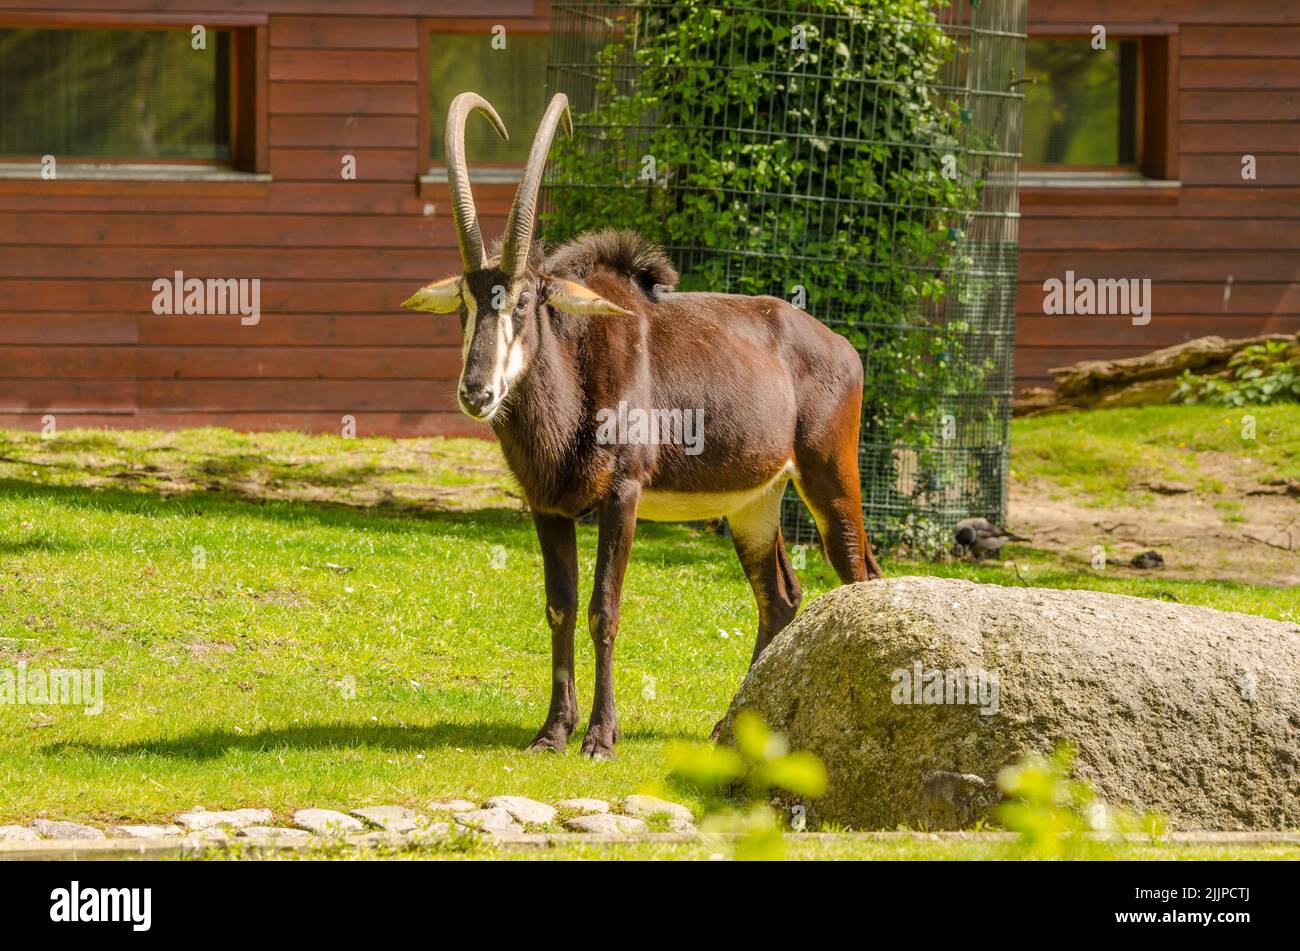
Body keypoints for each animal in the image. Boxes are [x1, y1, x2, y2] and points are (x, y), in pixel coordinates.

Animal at [403, 92, 883, 759]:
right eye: (466, 305)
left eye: (523, 301)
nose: (477, 392)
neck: (576, 364)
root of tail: (843, 349)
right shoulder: (546, 506)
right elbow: (560, 606)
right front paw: (552, 731)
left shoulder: (622, 495)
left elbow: (604, 607)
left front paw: (601, 738)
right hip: (753, 505)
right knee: (780, 597)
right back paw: (731, 727)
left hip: (829, 480)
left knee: (860, 574)